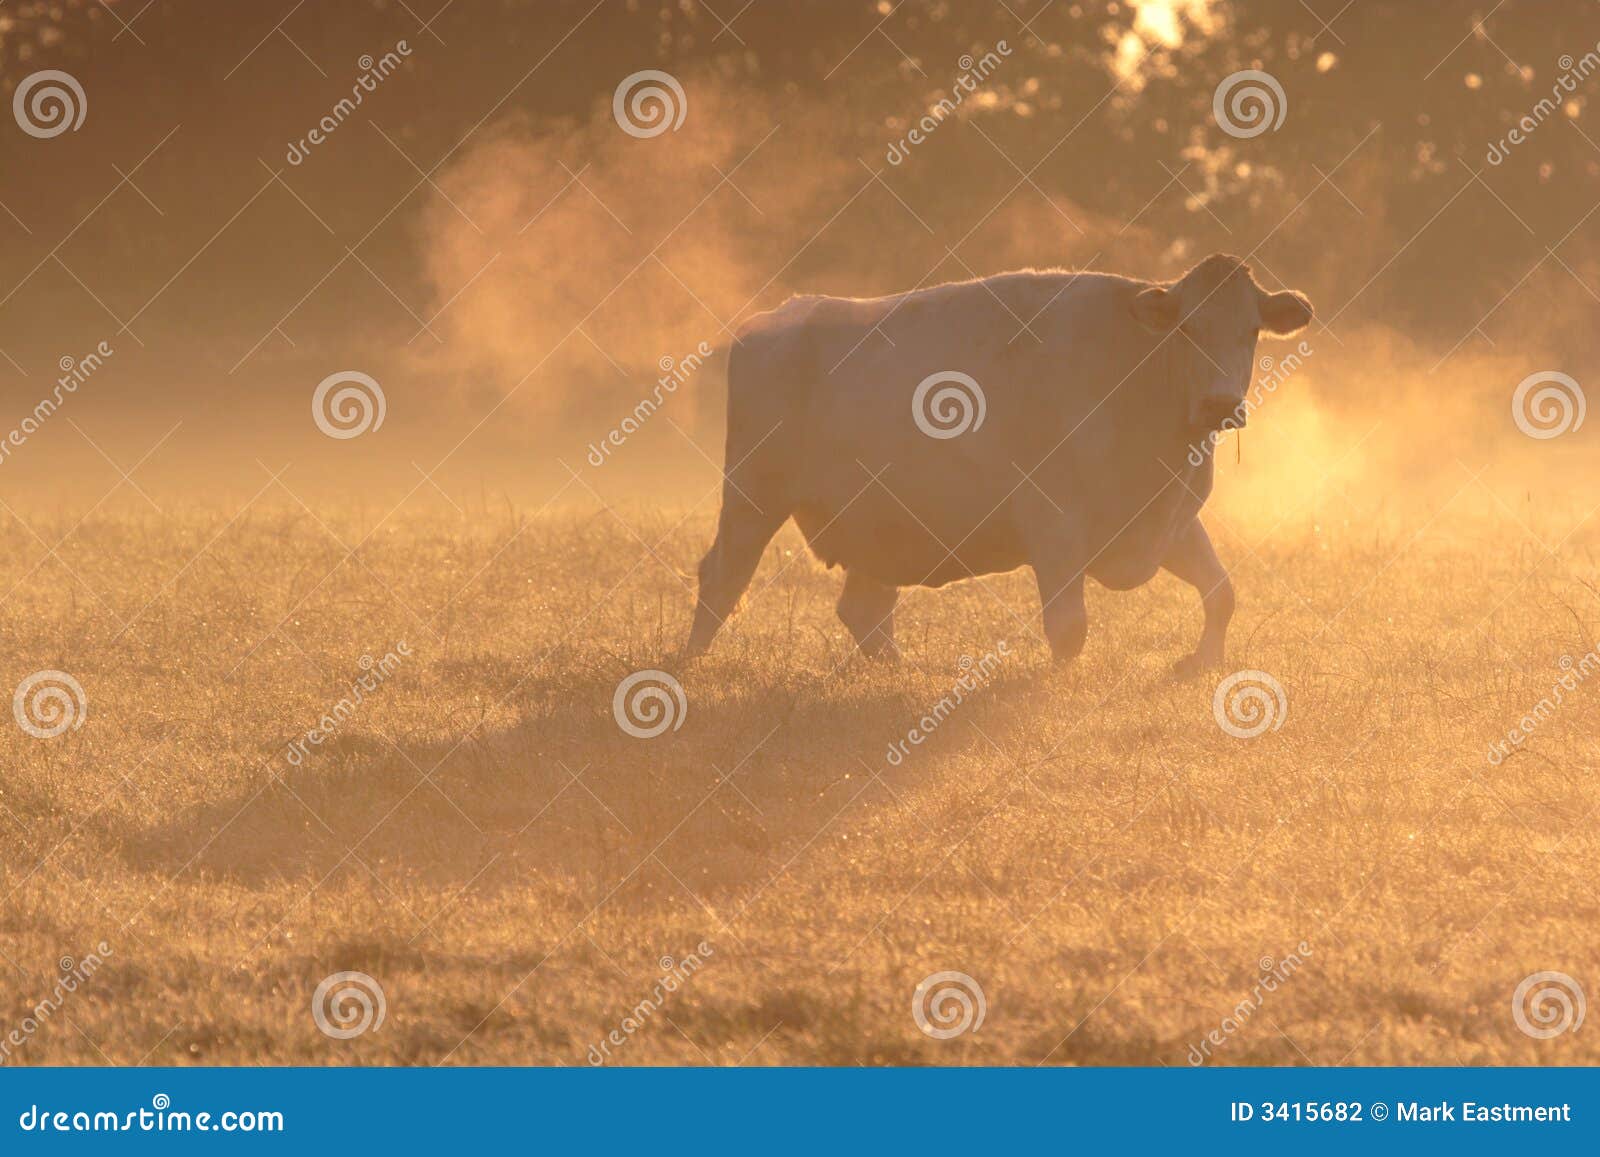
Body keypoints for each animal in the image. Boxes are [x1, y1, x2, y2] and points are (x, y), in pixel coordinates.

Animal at [682, 254, 1313, 676]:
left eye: (1251, 330)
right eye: (1187, 328)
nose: (1220, 404)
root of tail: (773, 321)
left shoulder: (1171, 522)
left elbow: (1222, 592)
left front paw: (1199, 663)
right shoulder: (1055, 525)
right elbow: (1069, 627)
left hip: (875, 526)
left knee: (864, 610)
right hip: (751, 500)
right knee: (721, 580)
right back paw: (688, 668)